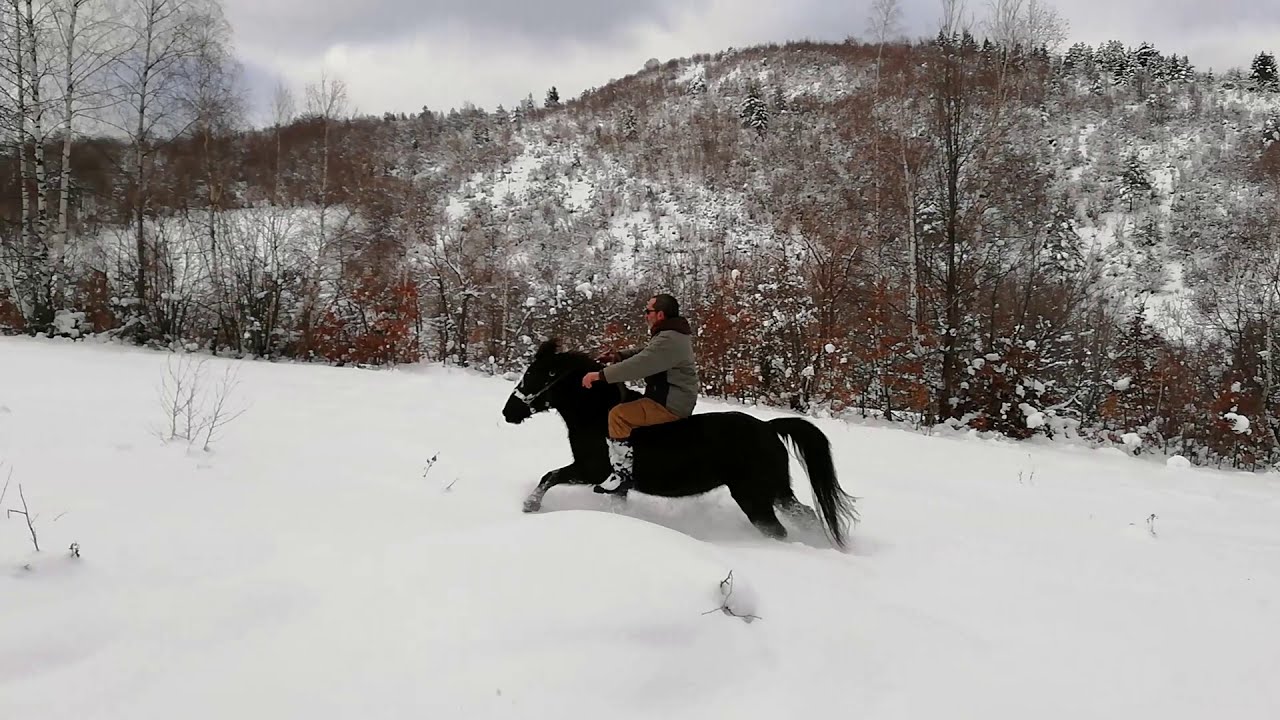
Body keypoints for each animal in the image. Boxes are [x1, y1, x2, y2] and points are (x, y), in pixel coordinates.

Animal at [500, 338, 858, 549]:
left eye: (534, 375)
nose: (508, 411)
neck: (597, 415)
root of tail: (769, 428)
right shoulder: (614, 485)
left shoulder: (591, 470)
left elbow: (549, 476)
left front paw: (530, 506)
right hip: (778, 491)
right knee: (806, 514)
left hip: (755, 497)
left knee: (777, 530)